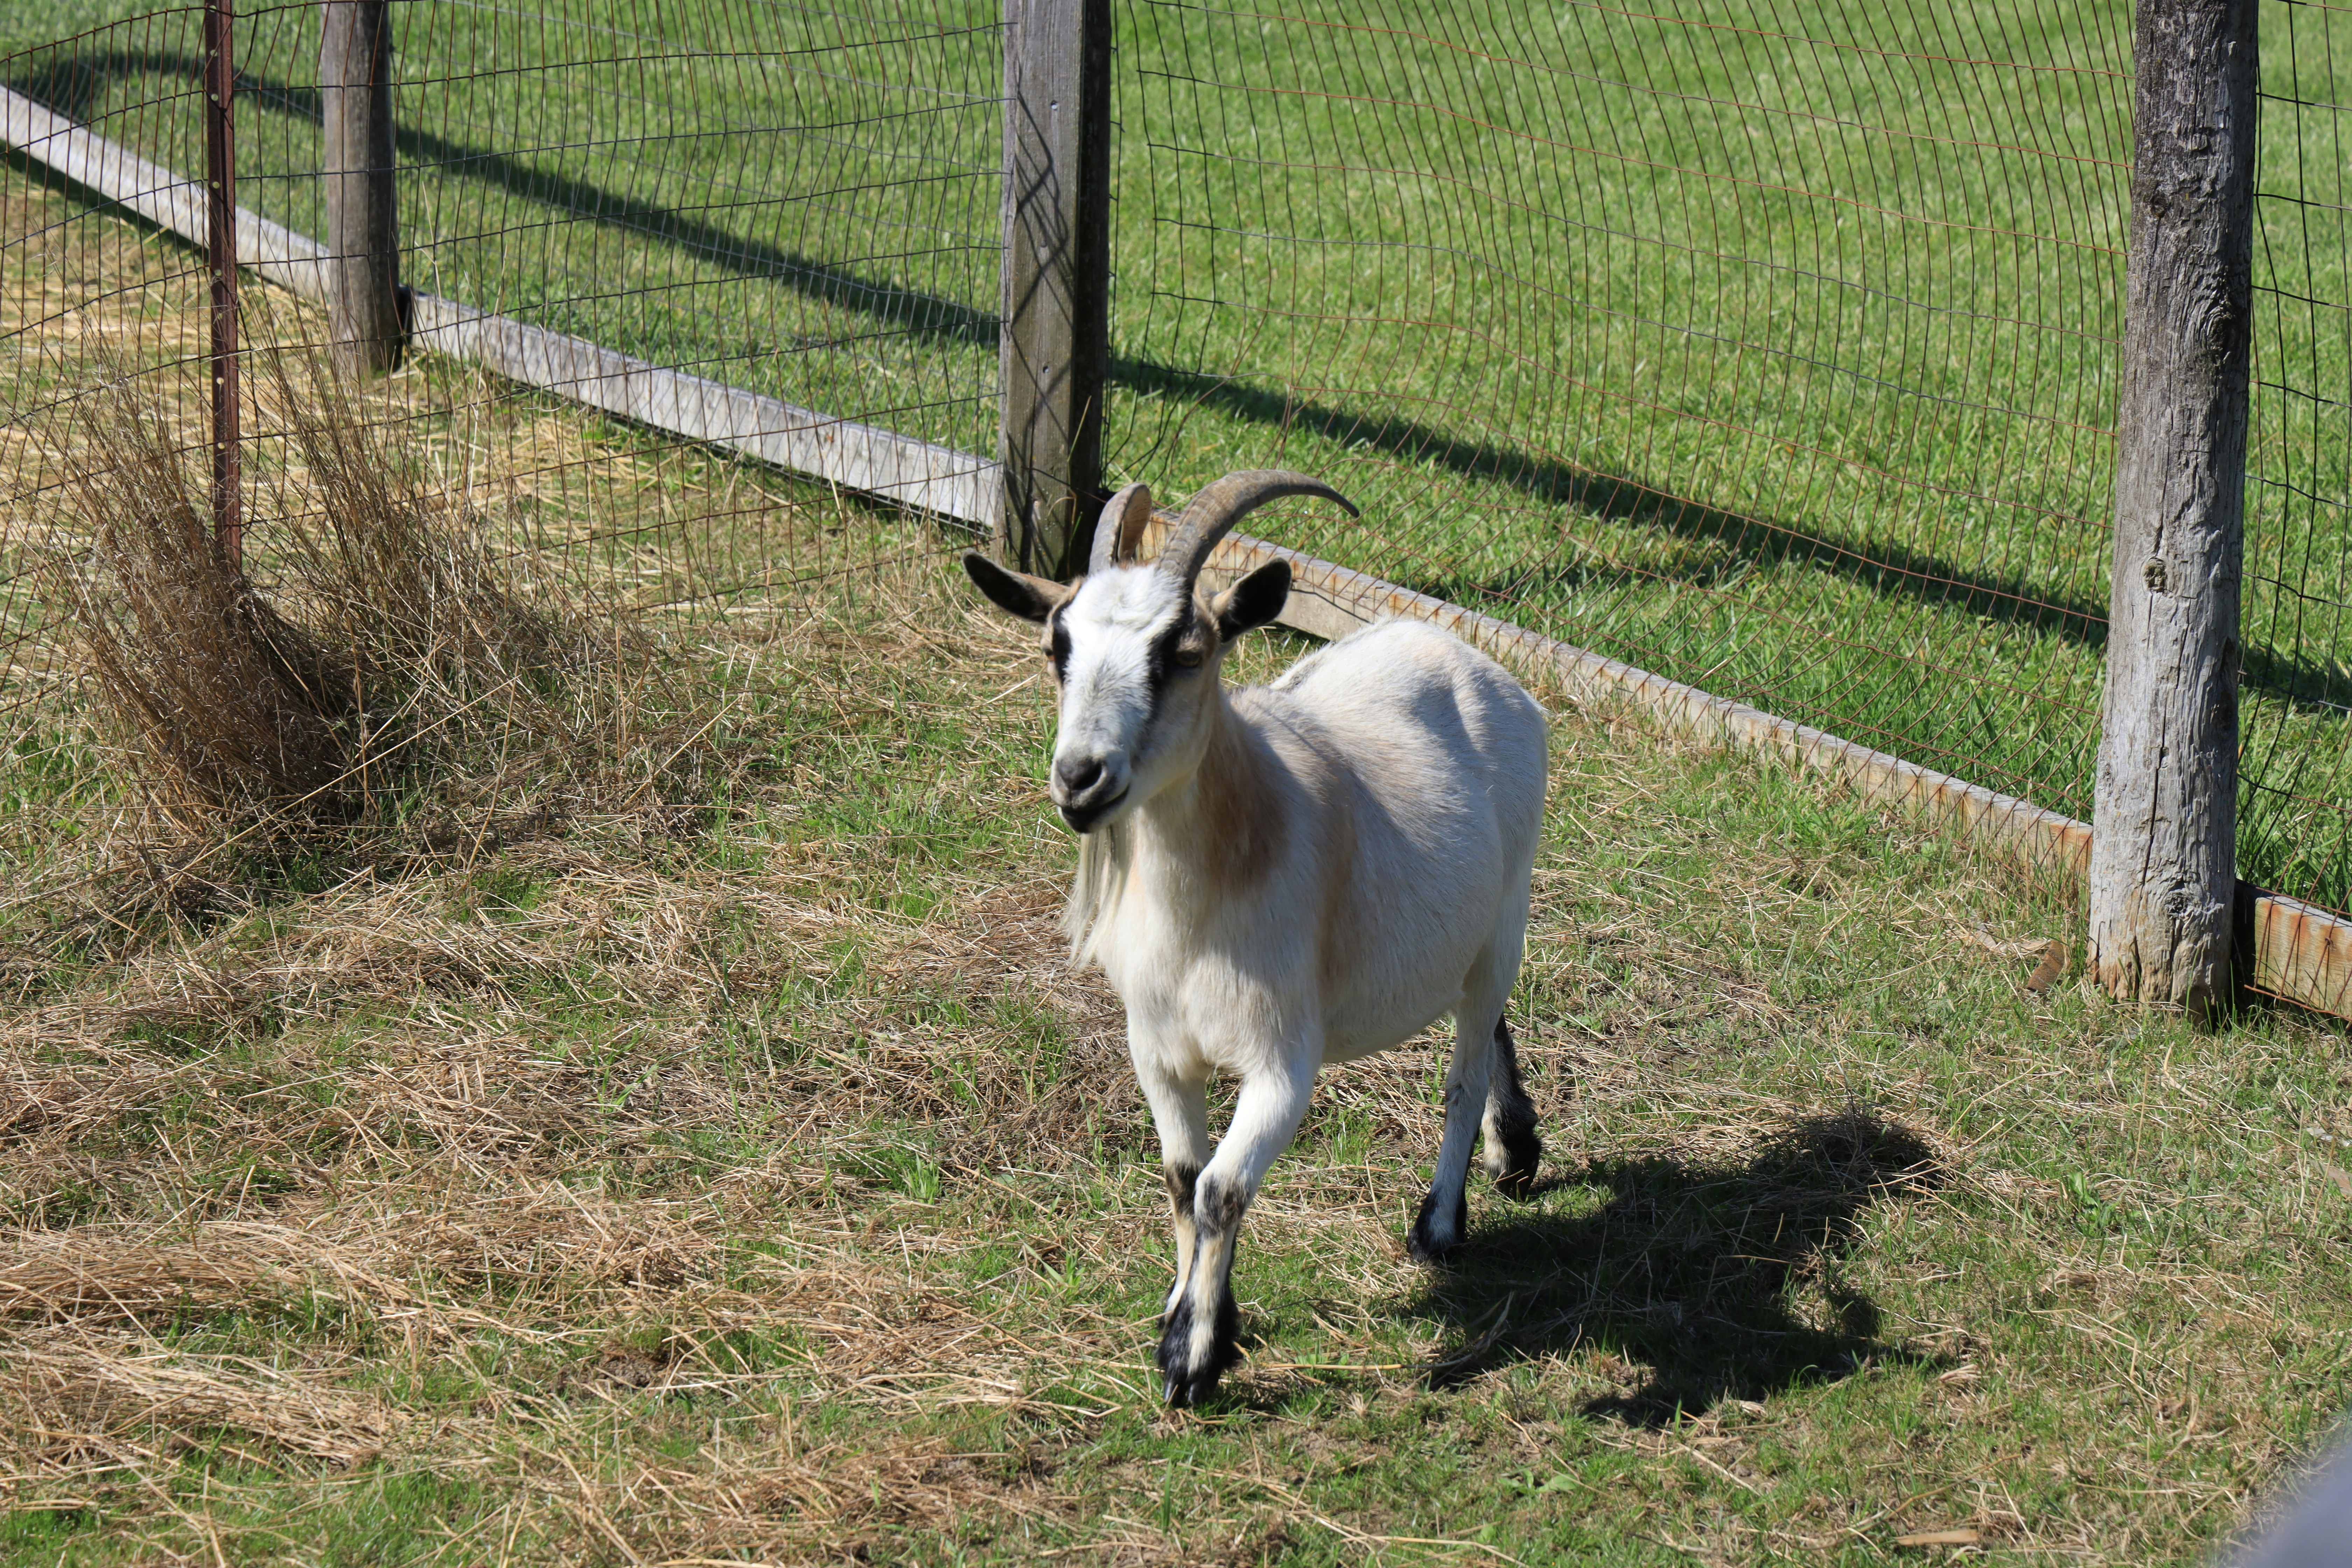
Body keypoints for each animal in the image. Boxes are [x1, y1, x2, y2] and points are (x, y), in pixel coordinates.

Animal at [963, 470, 1548, 1406]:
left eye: (1184, 652)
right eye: (1058, 647)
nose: (1080, 779)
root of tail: (1456, 649)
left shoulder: (1283, 1062)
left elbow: (1222, 1190)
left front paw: (1193, 1357)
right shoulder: (1157, 1048)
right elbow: (1180, 1180)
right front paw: (1187, 1310)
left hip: (1508, 911)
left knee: (1464, 1065)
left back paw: (1441, 1223)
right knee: (1488, 1022)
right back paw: (1515, 1151)